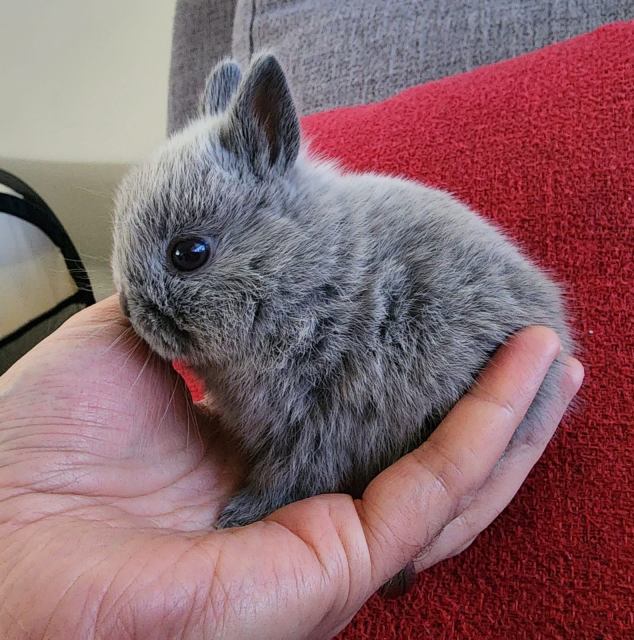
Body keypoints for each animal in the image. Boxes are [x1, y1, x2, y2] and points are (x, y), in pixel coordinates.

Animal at [111, 54, 573, 529]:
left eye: (189, 253)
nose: (129, 310)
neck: (313, 280)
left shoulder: (319, 422)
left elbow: (292, 476)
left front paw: (239, 514)